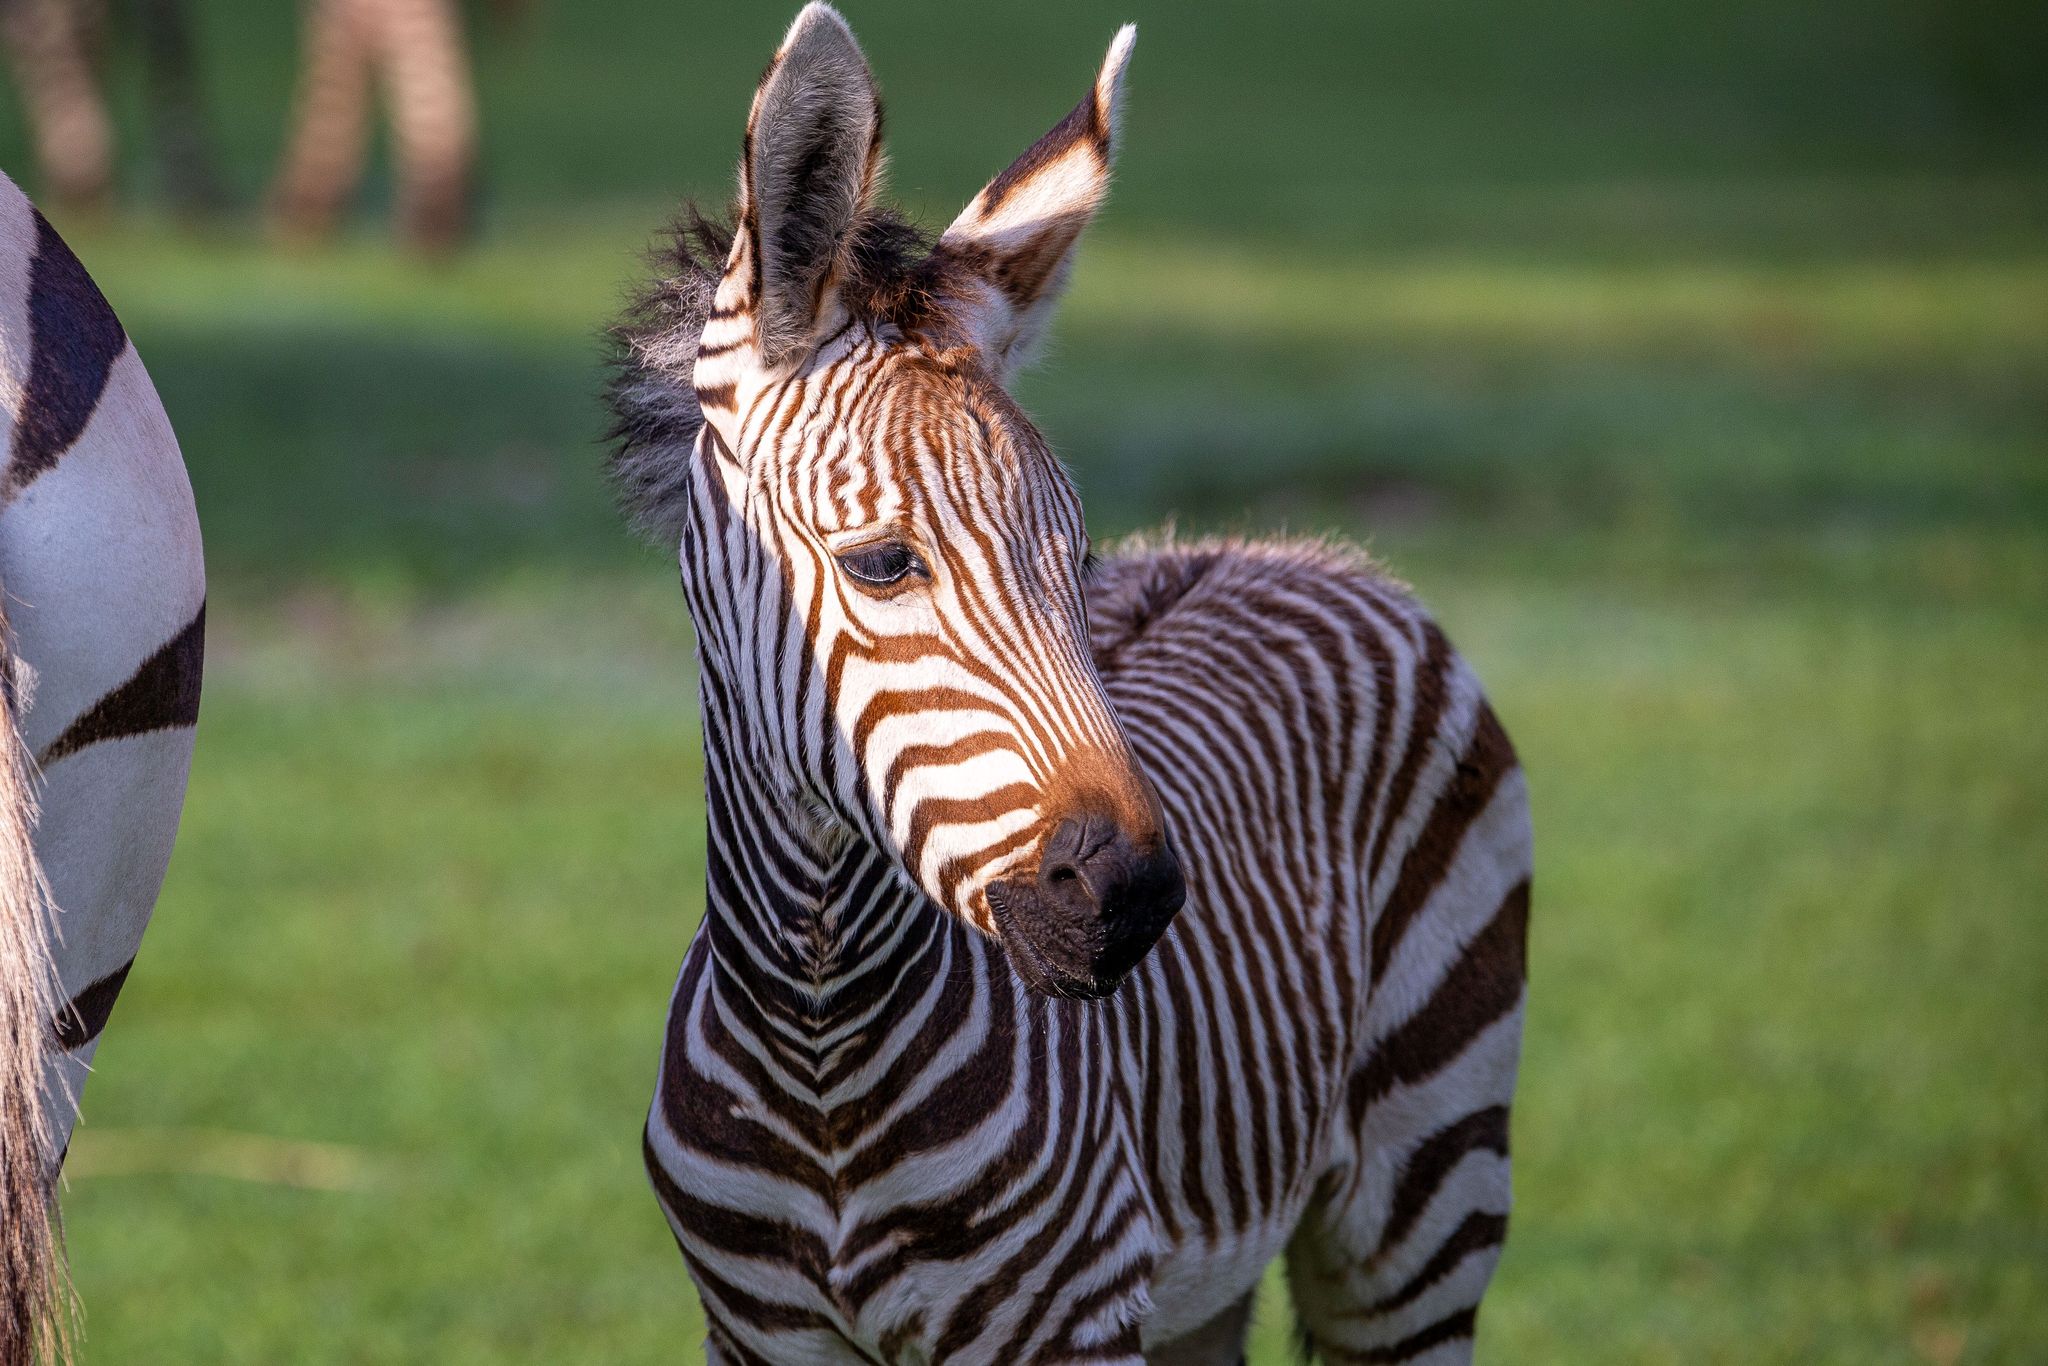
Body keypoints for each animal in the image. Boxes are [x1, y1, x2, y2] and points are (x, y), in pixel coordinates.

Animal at [607, 8, 1530, 1363]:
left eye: (1077, 557)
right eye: (880, 563)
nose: (1133, 899)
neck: (818, 1047)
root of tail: (1288, 546)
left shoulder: (1073, 1317)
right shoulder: (755, 1330)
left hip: (1422, 1199)